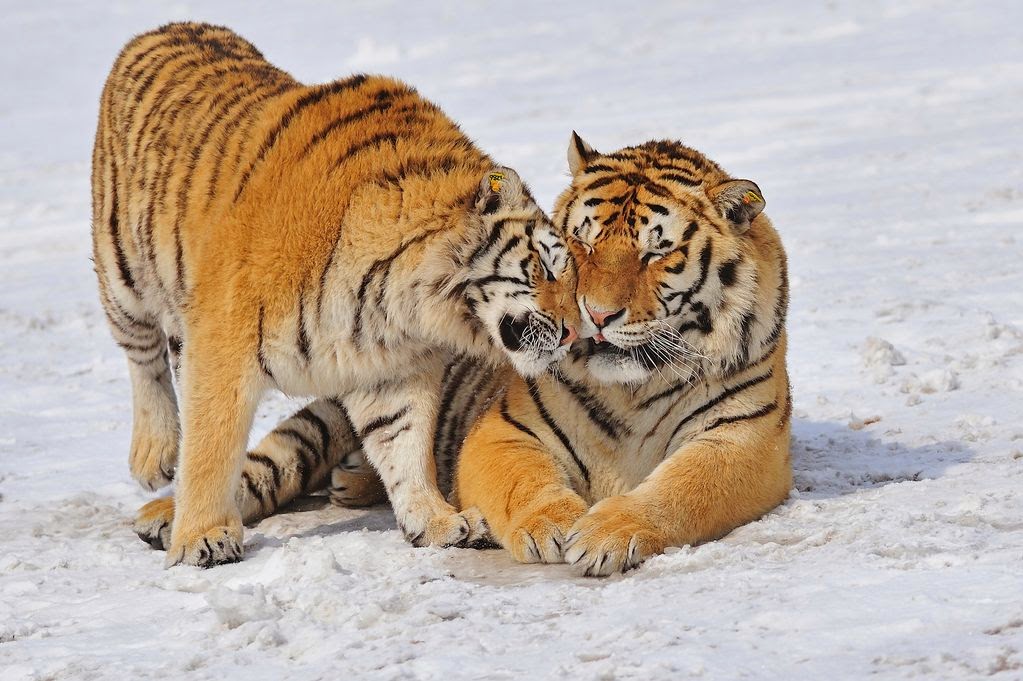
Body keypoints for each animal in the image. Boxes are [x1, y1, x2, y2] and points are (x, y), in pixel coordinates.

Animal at [93, 22, 579, 568]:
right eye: (546, 266)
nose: (574, 333)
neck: (407, 300)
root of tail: (168, 26)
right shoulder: (222, 346)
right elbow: (211, 450)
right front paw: (202, 537)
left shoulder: (393, 369)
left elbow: (405, 446)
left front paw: (436, 522)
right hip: (122, 272)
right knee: (142, 354)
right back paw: (154, 455)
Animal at [134, 133, 790, 576]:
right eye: (581, 242)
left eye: (657, 253)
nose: (596, 316)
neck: (635, 385)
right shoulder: (506, 428)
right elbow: (525, 484)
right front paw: (554, 526)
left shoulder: (743, 438)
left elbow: (679, 491)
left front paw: (608, 532)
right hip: (320, 418)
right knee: (257, 463)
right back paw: (166, 518)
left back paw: (354, 483)